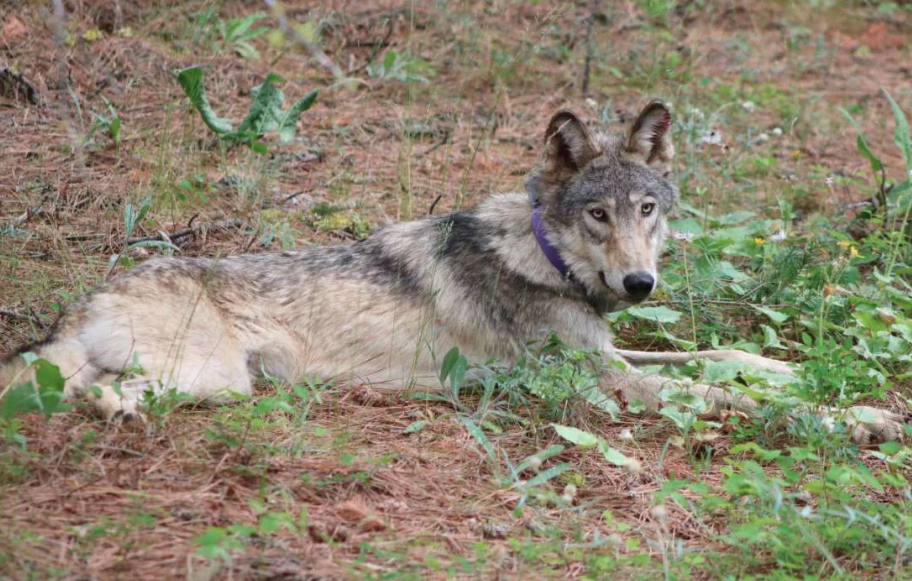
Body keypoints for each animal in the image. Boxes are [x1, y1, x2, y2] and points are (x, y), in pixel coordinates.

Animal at [1, 102, 905, 443]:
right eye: (598, 215)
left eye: (647, 209)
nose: (639, 286)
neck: (542, 256)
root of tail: (85, 298)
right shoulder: (605, 382)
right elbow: (722, 396)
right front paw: (858, 417)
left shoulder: (610, 354)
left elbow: (723, 357)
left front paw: (790, 371)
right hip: (218, 378)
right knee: (93, 393)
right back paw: (116, 412)